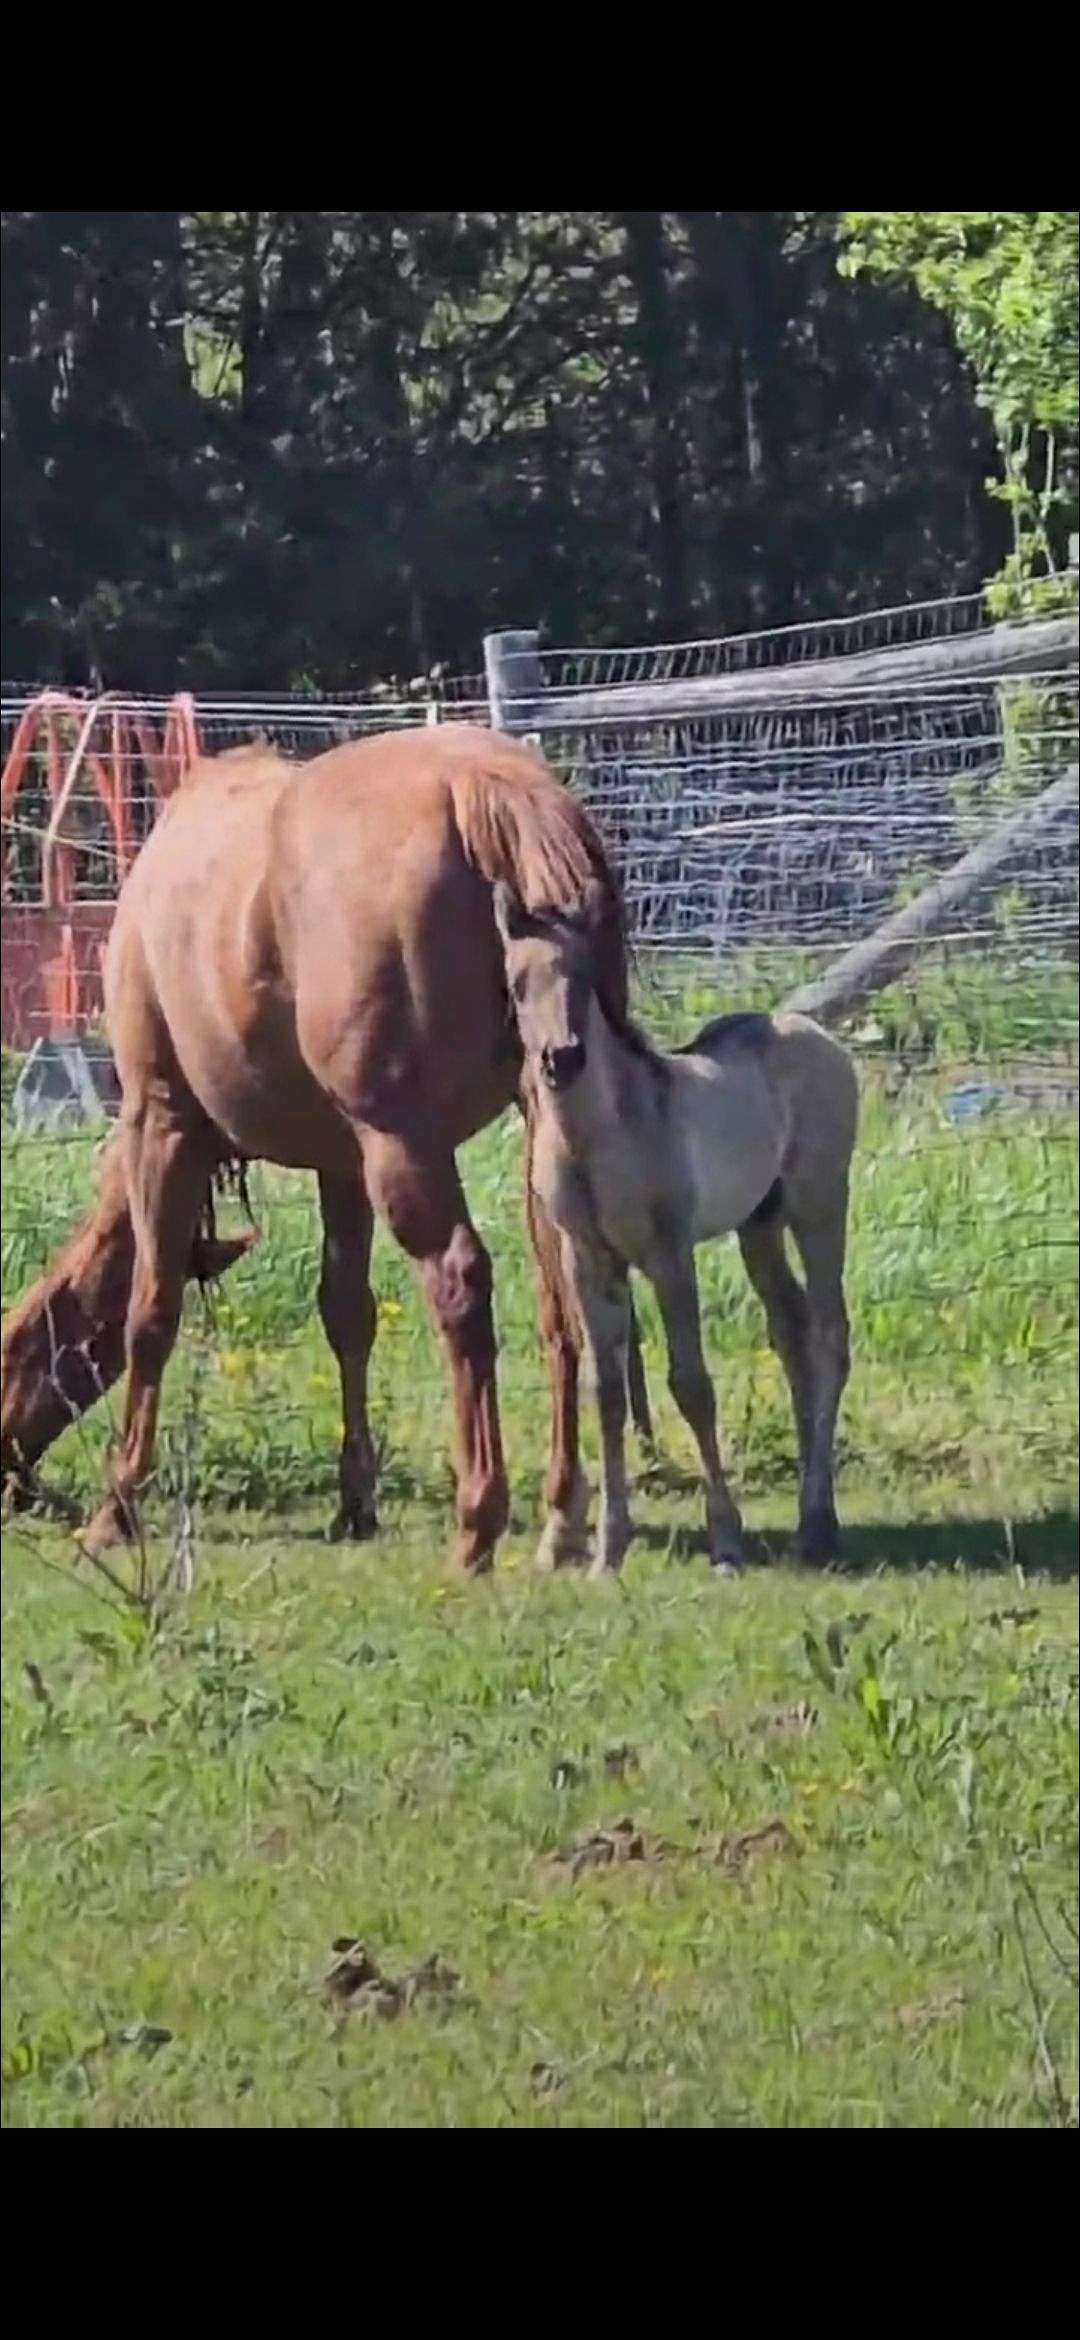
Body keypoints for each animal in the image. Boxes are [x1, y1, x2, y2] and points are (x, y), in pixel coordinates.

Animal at [2, 726, 653, 1574]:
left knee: (461, 1280)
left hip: (402, 1135)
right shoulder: (340, 1161)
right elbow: (347, 1312)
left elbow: (152, 1310)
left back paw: (479, 1518)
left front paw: (118, 1505)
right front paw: (356, 1498)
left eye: (18, 1347)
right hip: (541, 1112)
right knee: (561, 1296)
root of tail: (494, 793)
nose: (11, 1471)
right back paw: (563, 1511)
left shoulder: (161, 1117)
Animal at [493, 881, 858, 1576]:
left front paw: (726, 1543)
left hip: (820, 1206)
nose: (561, 1059)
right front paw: (608, 1551)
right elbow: (606, 1390)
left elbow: (691, 1384)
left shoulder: (668, 1254)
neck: (597, 1139)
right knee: (793, 1332)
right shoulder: (589, 1260)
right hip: (759, 1225)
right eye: (517, 983)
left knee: (830, 1335)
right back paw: (809, 1508)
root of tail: (815, 1032)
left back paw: (820, 1522)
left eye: (583, 977)